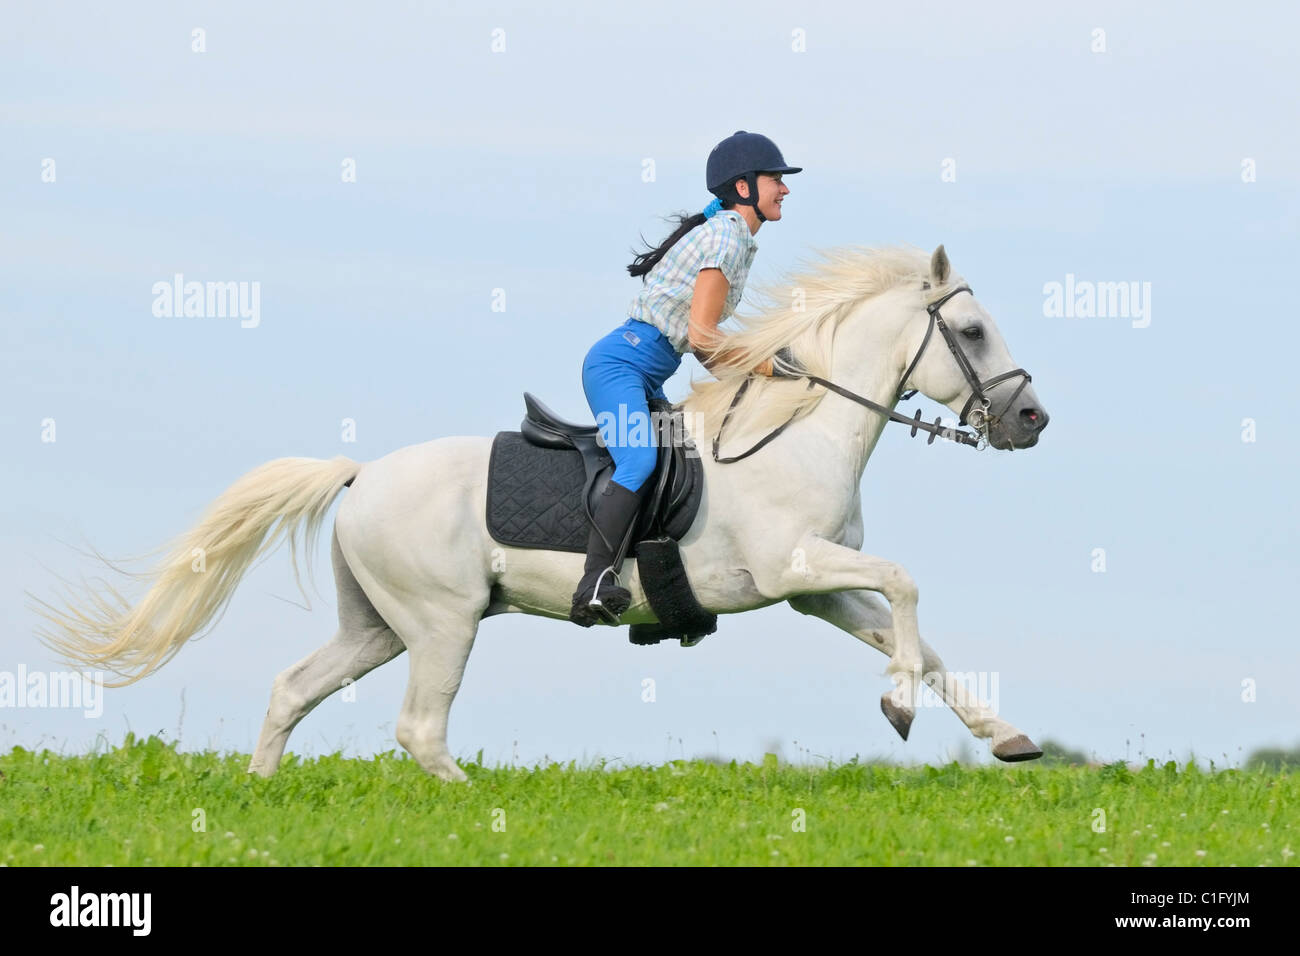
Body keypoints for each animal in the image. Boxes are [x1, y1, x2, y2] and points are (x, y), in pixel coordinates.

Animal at [35, 244, 1049, 781]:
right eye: (970, 332)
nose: (1032, 420)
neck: (795, 433)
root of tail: (361, 477)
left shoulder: (815, 589)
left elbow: (919, 636)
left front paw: (1003, 737)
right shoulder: (789, 567)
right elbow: (908, 588)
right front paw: (898, 707)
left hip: (380, 624)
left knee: (294, 687)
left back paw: (259, 790)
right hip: (441, 622)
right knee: (419, 728)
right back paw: (473, 802)